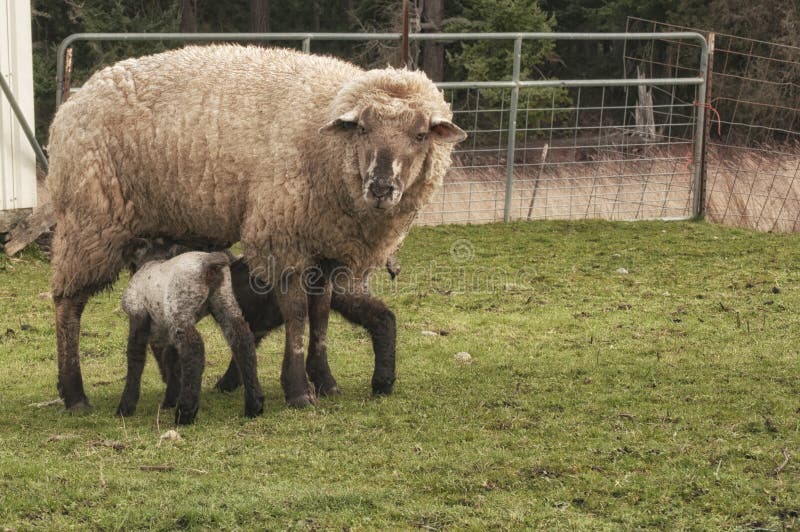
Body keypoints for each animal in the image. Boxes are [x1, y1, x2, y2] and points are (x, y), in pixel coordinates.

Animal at [118, 239, 264, 424]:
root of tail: (208, 264)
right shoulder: (166, 331)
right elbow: (171, 360)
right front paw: (170, 399)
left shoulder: (138, 316)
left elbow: (135, 359)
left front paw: (125, 407)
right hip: (224, 301)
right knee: (242, 340)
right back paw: (255, 404)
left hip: (180, 309)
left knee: (194, 350)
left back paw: (185, 413)